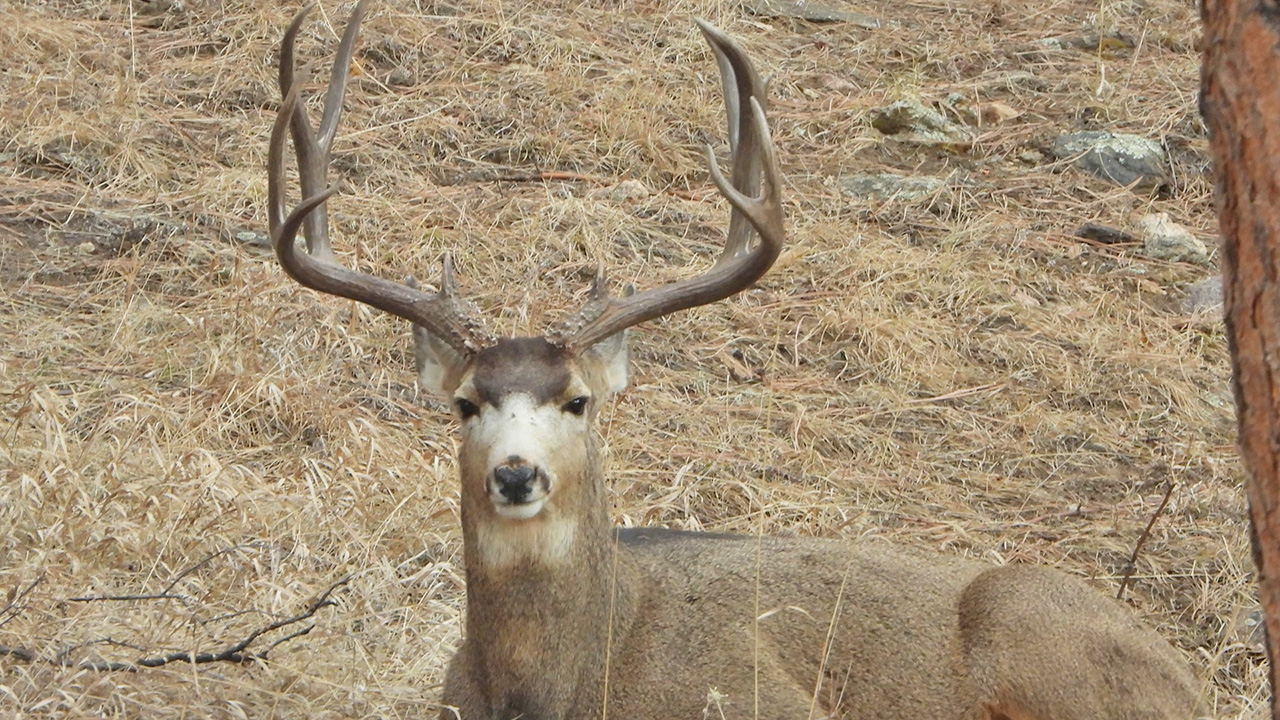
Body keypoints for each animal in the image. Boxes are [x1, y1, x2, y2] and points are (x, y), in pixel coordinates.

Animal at [266, 3, 1200, 719]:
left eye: (577, 400)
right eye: (466, 404)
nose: (518, 473)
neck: (565, 682)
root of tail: (1182, 670)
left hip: (1029, 628)